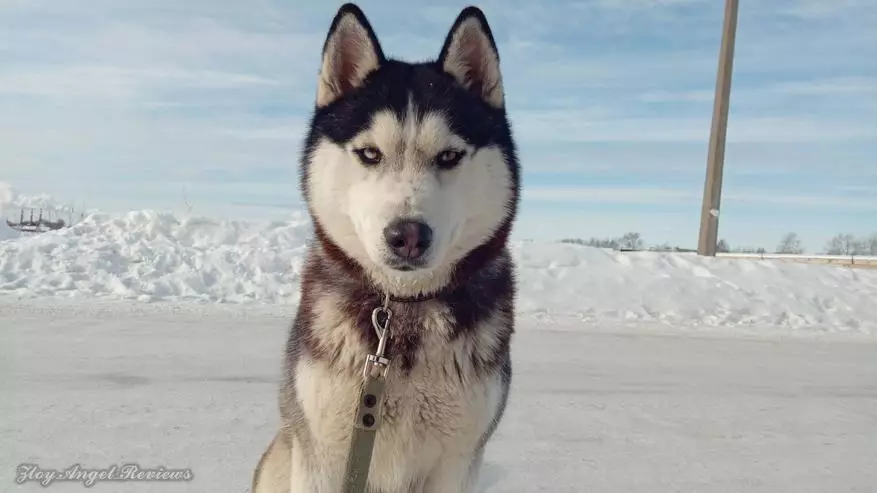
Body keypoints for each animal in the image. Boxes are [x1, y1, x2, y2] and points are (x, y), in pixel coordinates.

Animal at [250, 4, 516, 492]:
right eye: (370, 154)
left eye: (450, 156)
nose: (407, 235)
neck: (402, 315)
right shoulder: (321, 456)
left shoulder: (457, 462)